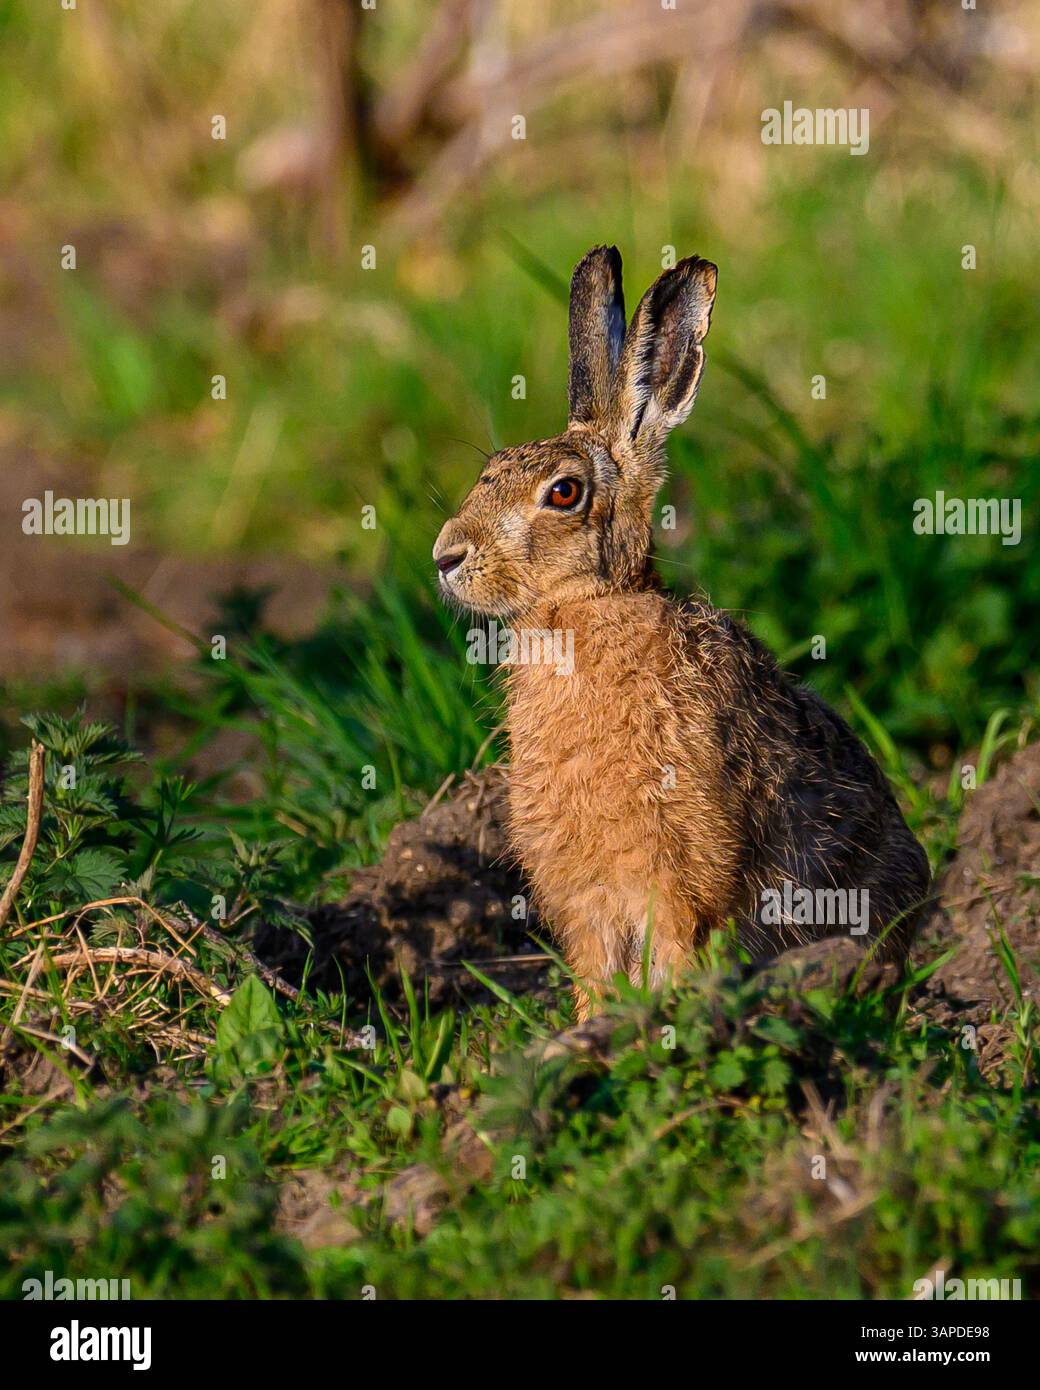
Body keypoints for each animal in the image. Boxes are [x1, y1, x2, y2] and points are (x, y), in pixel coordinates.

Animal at [433, 245, 931, 1021]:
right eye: (488, 472)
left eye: (564, 493)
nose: (445, 557)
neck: (586, 613)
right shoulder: (586, 905)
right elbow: (594, 977)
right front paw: (591, 1032)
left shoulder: (679, 881)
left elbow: (676, 955)